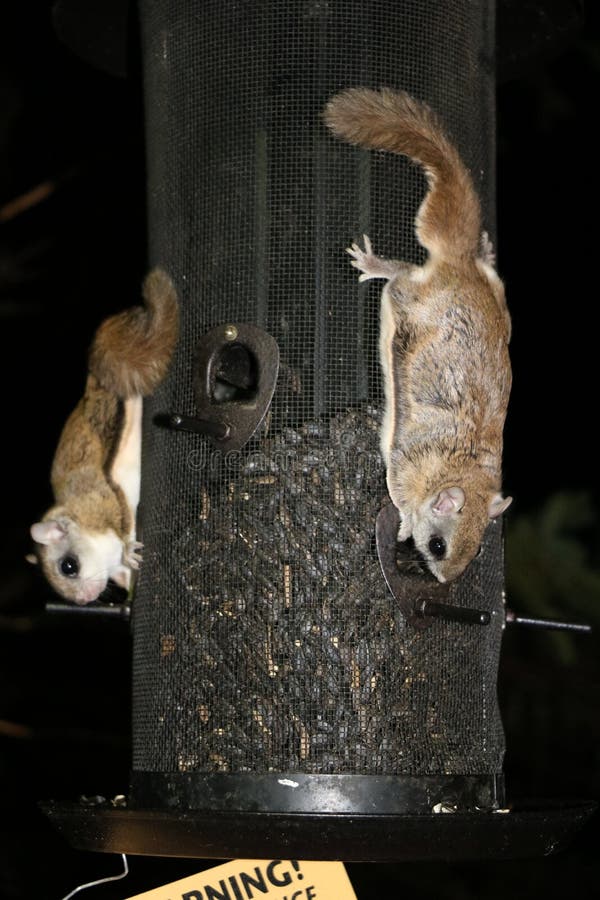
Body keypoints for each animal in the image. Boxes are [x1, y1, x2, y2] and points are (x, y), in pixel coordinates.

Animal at [29, 268, 179, 604]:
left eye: (69, 566)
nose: (84, 601)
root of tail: (95, 381)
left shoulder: (101, 501)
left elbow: (121, 520)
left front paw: (127, 551)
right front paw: (128, 582)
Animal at [323, 87, 512, 583]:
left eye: (475, 552)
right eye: (438, 545)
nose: (444, 582)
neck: (460, 467)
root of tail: (458, 265)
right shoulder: (406, 466)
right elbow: (400, 493)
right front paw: (406, 522)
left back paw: (485, 253)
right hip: (409, 297)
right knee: (401, 275)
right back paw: (375, 264)